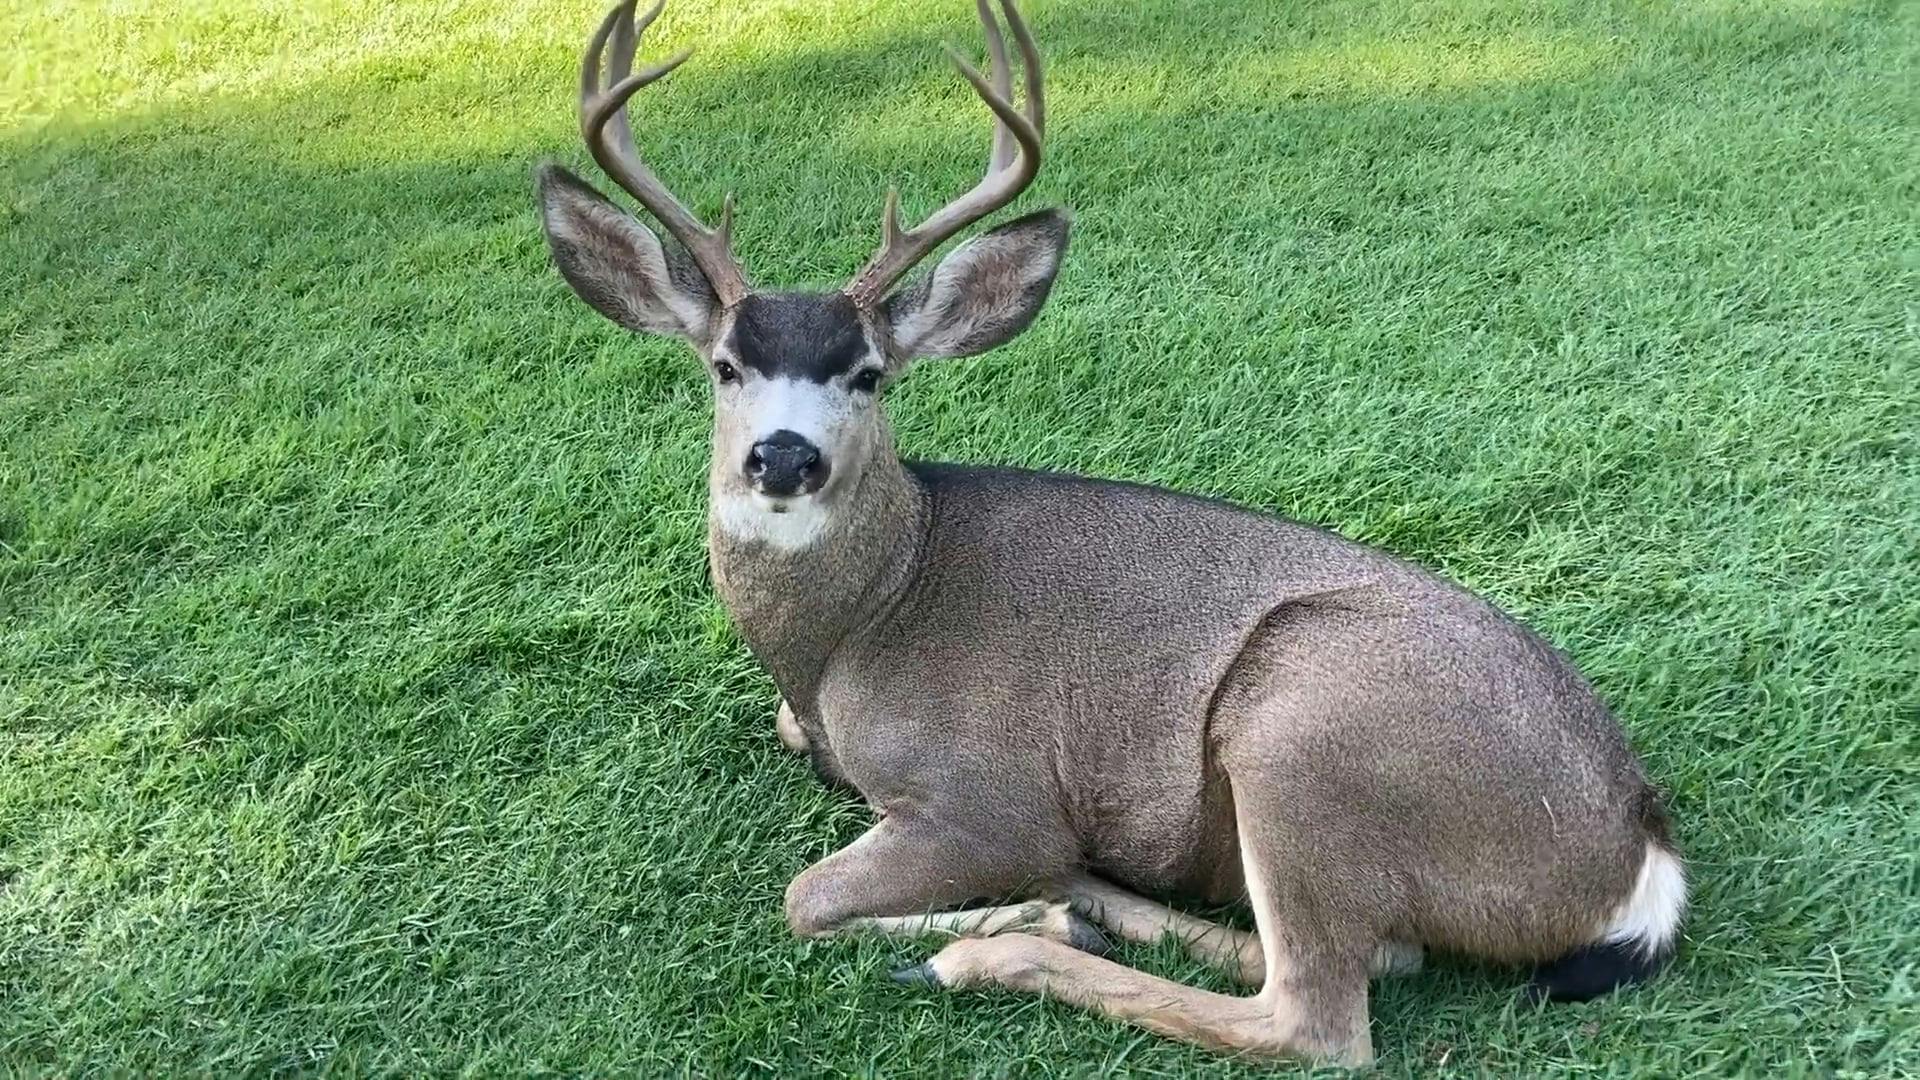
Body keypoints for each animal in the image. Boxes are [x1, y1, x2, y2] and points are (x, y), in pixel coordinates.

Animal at [534, 0, 1687, 1066]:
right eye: (724, 365)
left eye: (869, 374)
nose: (782, 457)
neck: (850, 631)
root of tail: (1640, 850)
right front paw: (1055, 899)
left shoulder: (984, 795)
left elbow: (805, 899)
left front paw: (1005, 914)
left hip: (1302, 729)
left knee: (1318, 1017)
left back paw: (994, 949)